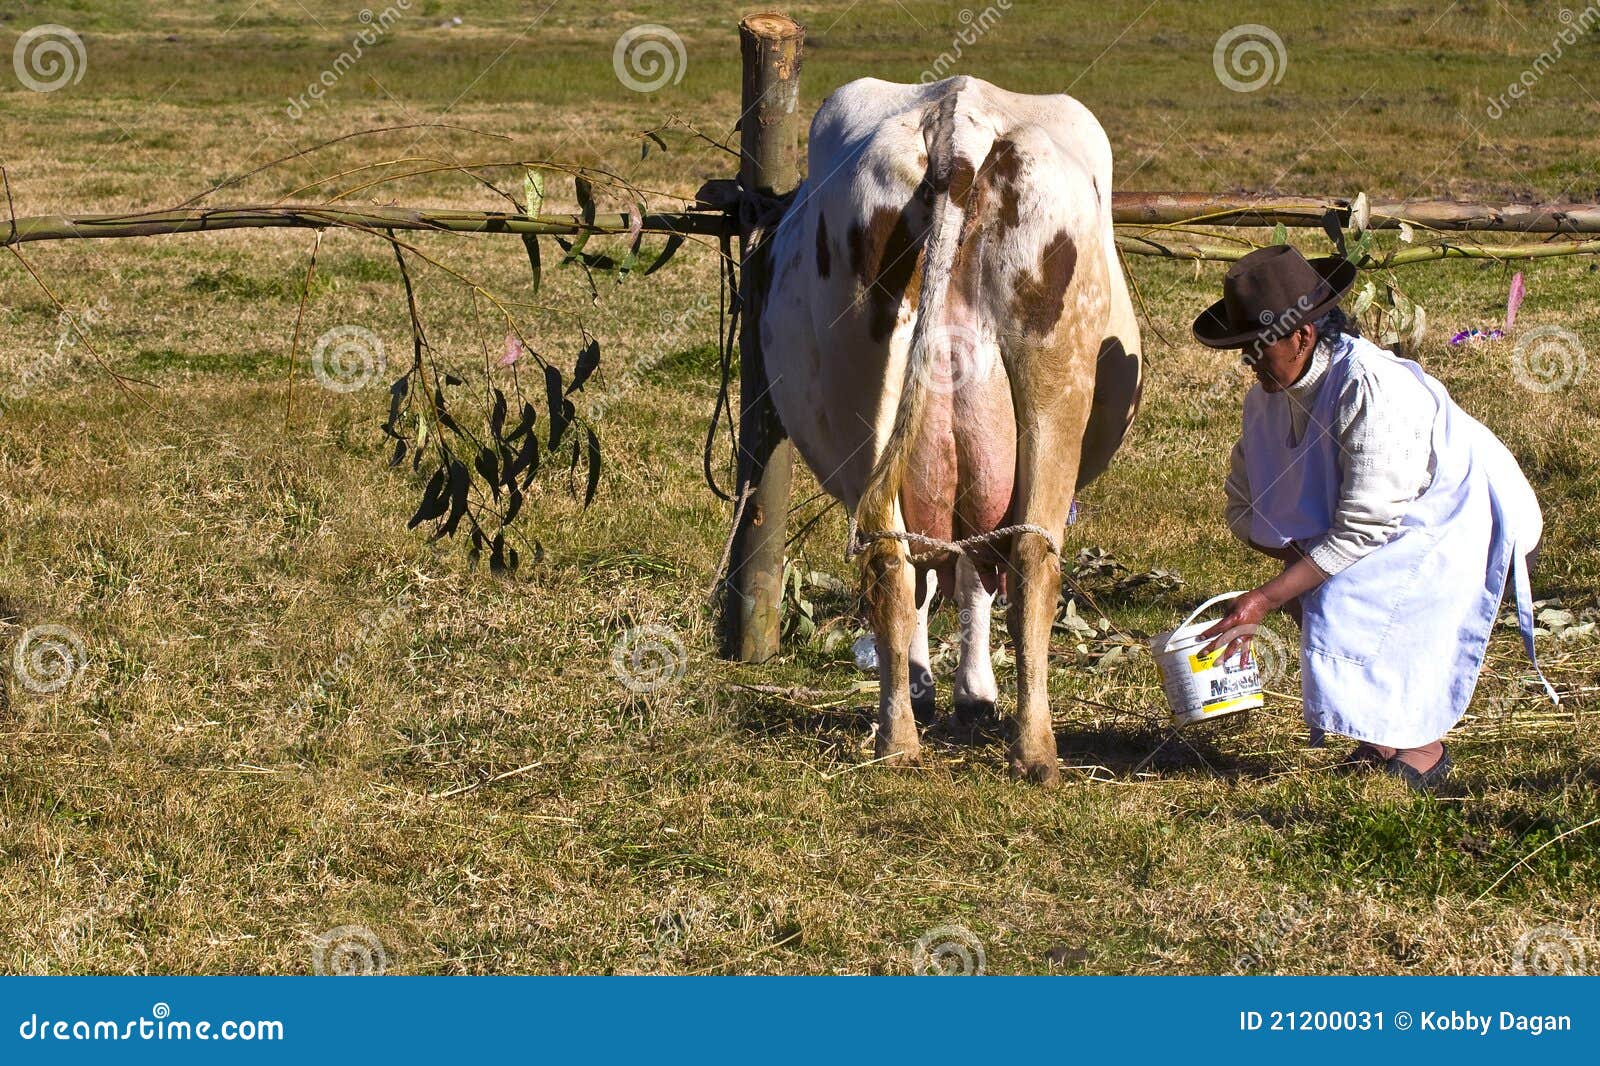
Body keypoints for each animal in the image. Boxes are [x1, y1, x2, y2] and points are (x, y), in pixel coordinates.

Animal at [760, 76, 1142, 785]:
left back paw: (902, 739)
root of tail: (957, 126)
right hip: (1057, 386)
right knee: (1026, 558)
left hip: (875, 392)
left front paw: (932, 686)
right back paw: (1032, 749)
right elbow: (969, 578)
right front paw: (971, 692)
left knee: (893, 555)